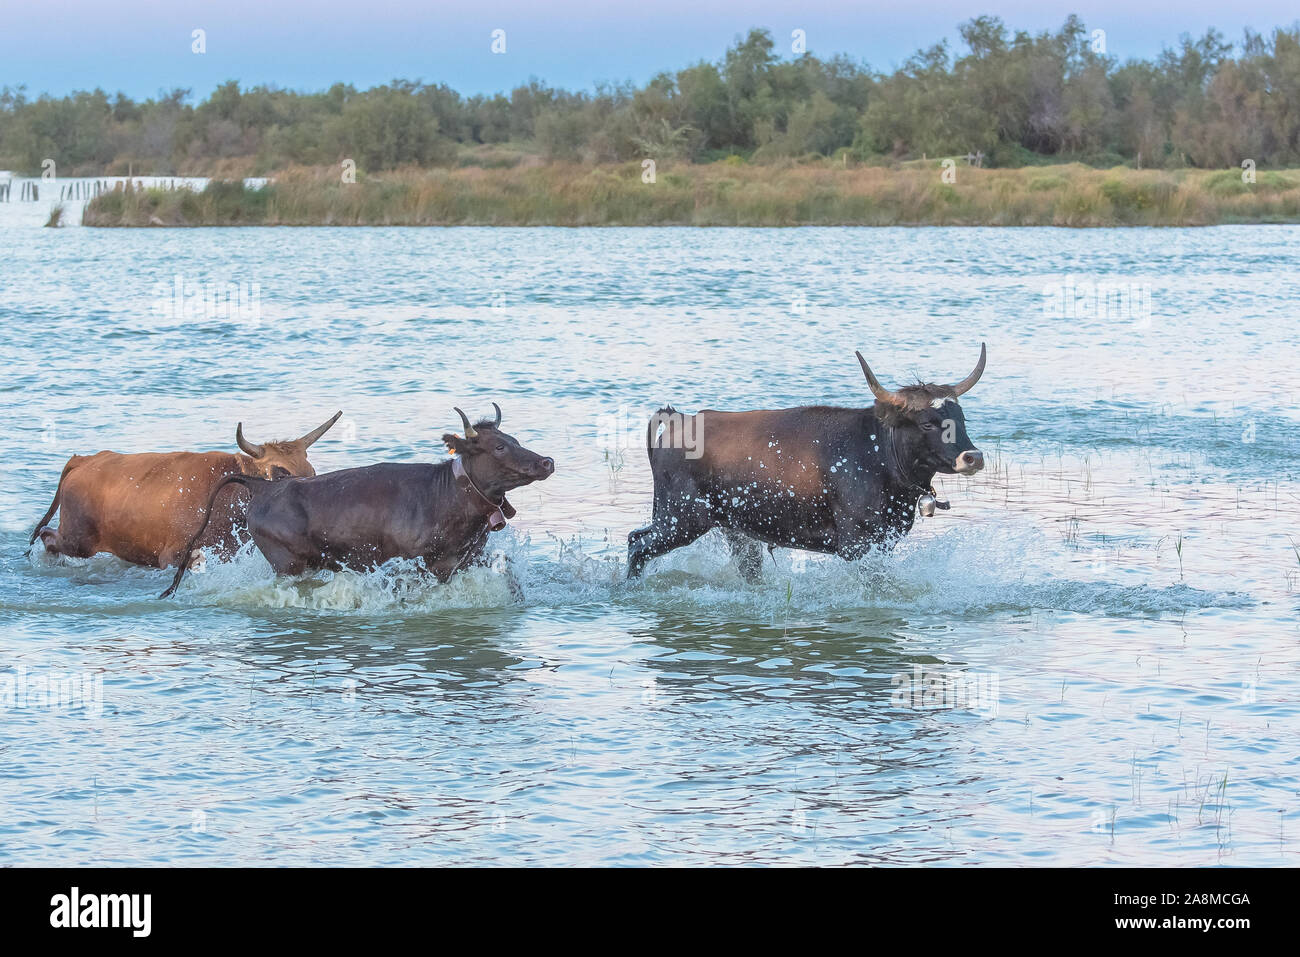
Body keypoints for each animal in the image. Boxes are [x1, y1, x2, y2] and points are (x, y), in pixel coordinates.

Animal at [30, 412, 342, 568]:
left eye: (312, 472)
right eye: (279, 471)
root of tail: (85, 459)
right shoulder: (173, 554)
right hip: (77, 538)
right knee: (48, 537)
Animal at [162, 404, 553, 598]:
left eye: (514, 439)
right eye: (499, 446)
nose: (546, 461)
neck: (448, 496)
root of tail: (261, 486)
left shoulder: (466, 560)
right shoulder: (408, 564)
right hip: (288, 563)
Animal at [627, 345, 987, 580]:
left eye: (961, 418)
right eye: (927, 423)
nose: (973, 457)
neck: (878, 454)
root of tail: (680, 418)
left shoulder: (885, 540)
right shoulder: (857, 543)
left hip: (724, 526)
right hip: (680, 520)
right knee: (637, 544)